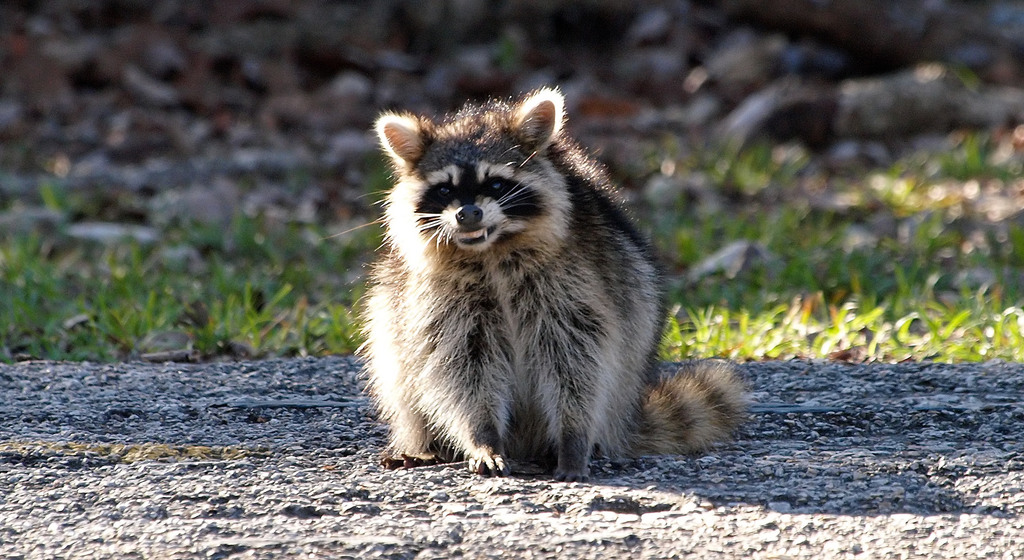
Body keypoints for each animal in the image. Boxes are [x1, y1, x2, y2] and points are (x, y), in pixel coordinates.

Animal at [360, 88, 746, 482]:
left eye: (495, 183)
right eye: (444, 190)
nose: (468, 214)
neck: (491, 251)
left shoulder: (573, 281)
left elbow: (577, 361)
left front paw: (572, 436)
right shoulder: (442, 299)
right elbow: (462, 367)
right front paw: (483, 436)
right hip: (392, 319)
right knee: (396, 360)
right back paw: (425, 444)